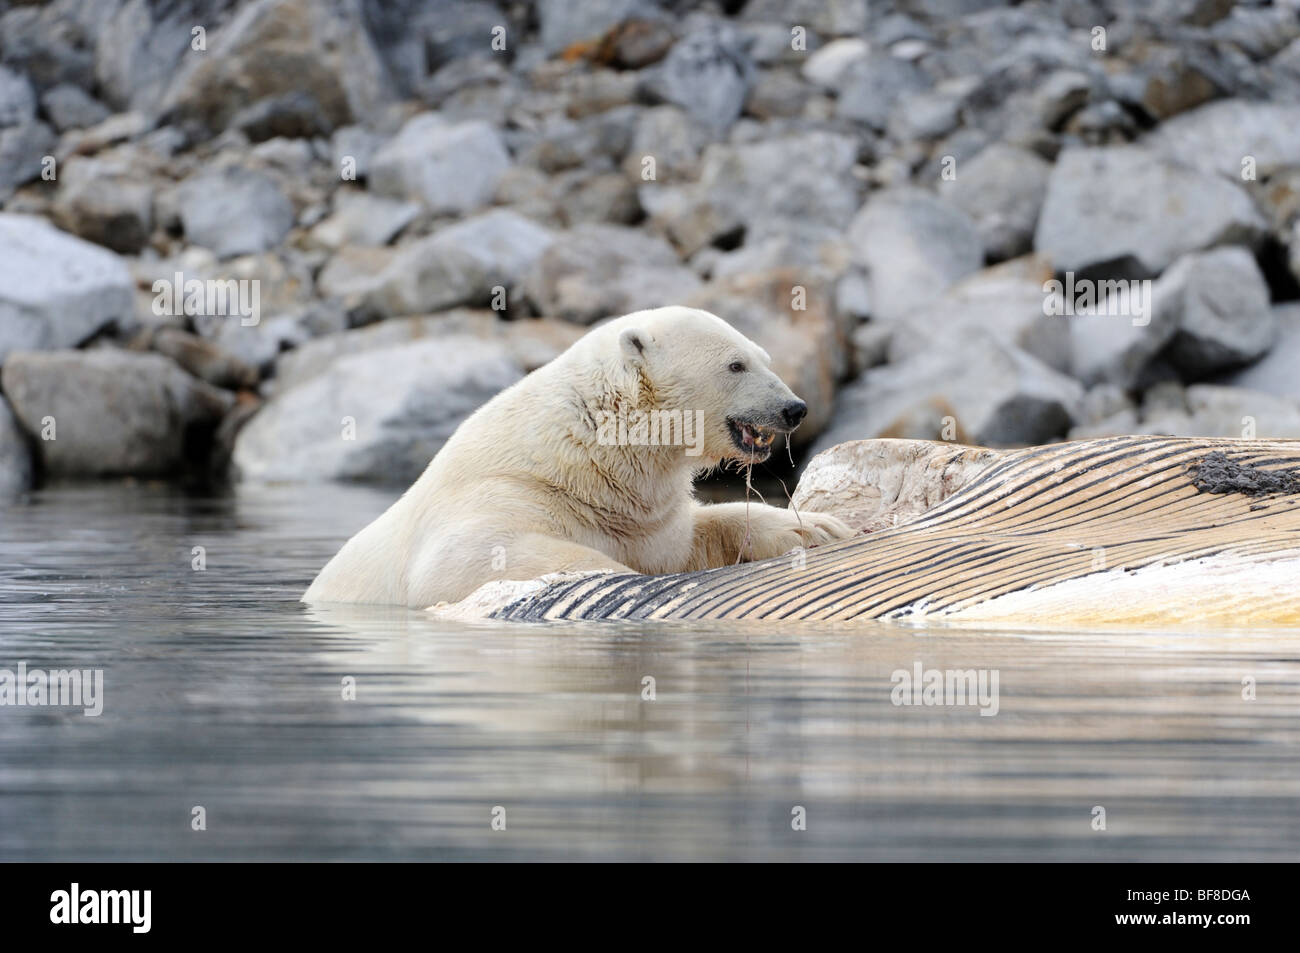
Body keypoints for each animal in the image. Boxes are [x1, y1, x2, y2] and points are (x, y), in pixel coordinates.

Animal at [303, 306, 854, 608]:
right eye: (735, 365)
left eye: (764, 357)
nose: (794, 408)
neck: (585, 461)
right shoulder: (501, 494)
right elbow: (467, 561)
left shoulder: (643, 517)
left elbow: (692, 536)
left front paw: (817, 527)